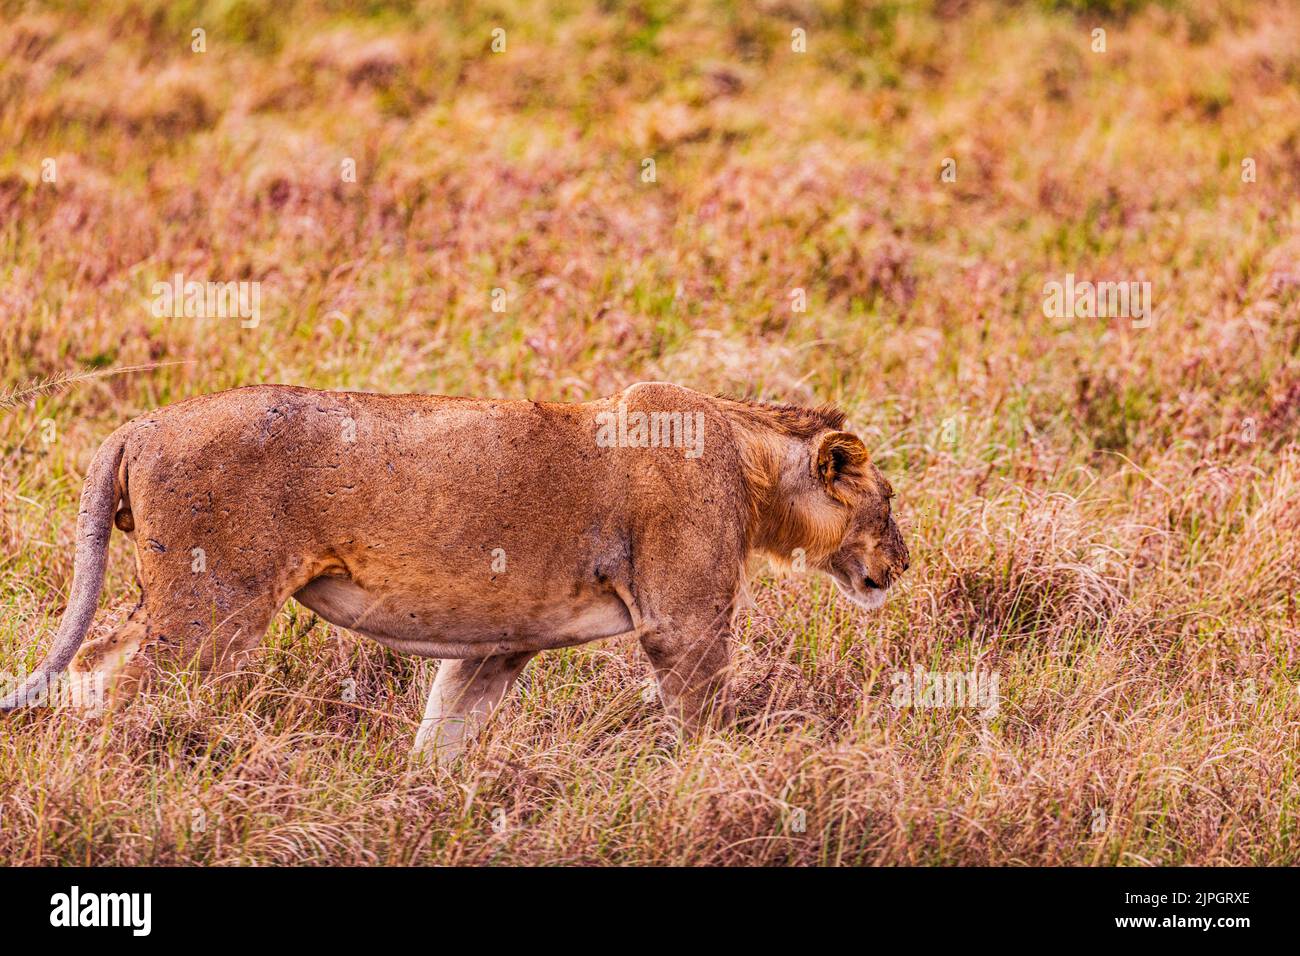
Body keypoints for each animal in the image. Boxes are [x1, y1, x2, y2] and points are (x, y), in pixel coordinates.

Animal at [0, 382, 908, 760]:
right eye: (889, 500)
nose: (901, 562)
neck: (750, 467)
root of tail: (141, 423)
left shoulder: (497, 644)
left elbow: (444, 735)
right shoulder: (682, 626)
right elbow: (707, 723)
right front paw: (713, 784)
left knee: (93, 664)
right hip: (208, 605)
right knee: (114, 682)